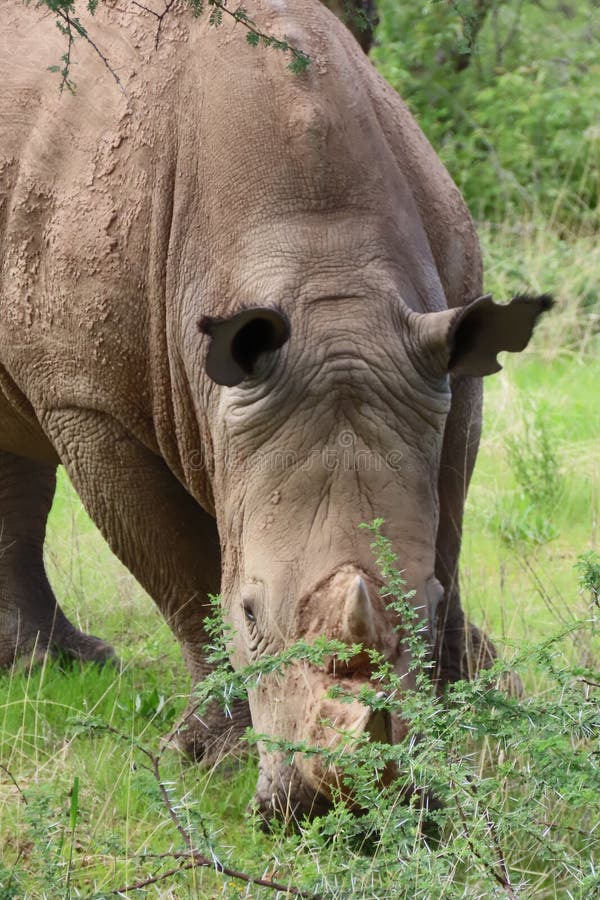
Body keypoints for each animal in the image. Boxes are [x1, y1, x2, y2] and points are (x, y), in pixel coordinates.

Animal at [0, 0, 550, 819]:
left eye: (422, 605)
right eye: (252, 614)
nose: (344, 808)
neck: (321, 263)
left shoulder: (451, 364)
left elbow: (448, 522)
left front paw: (469, 695)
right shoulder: (91, 403)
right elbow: (186, 575)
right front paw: (217, 756)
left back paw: (54, 667)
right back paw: (59, 669)